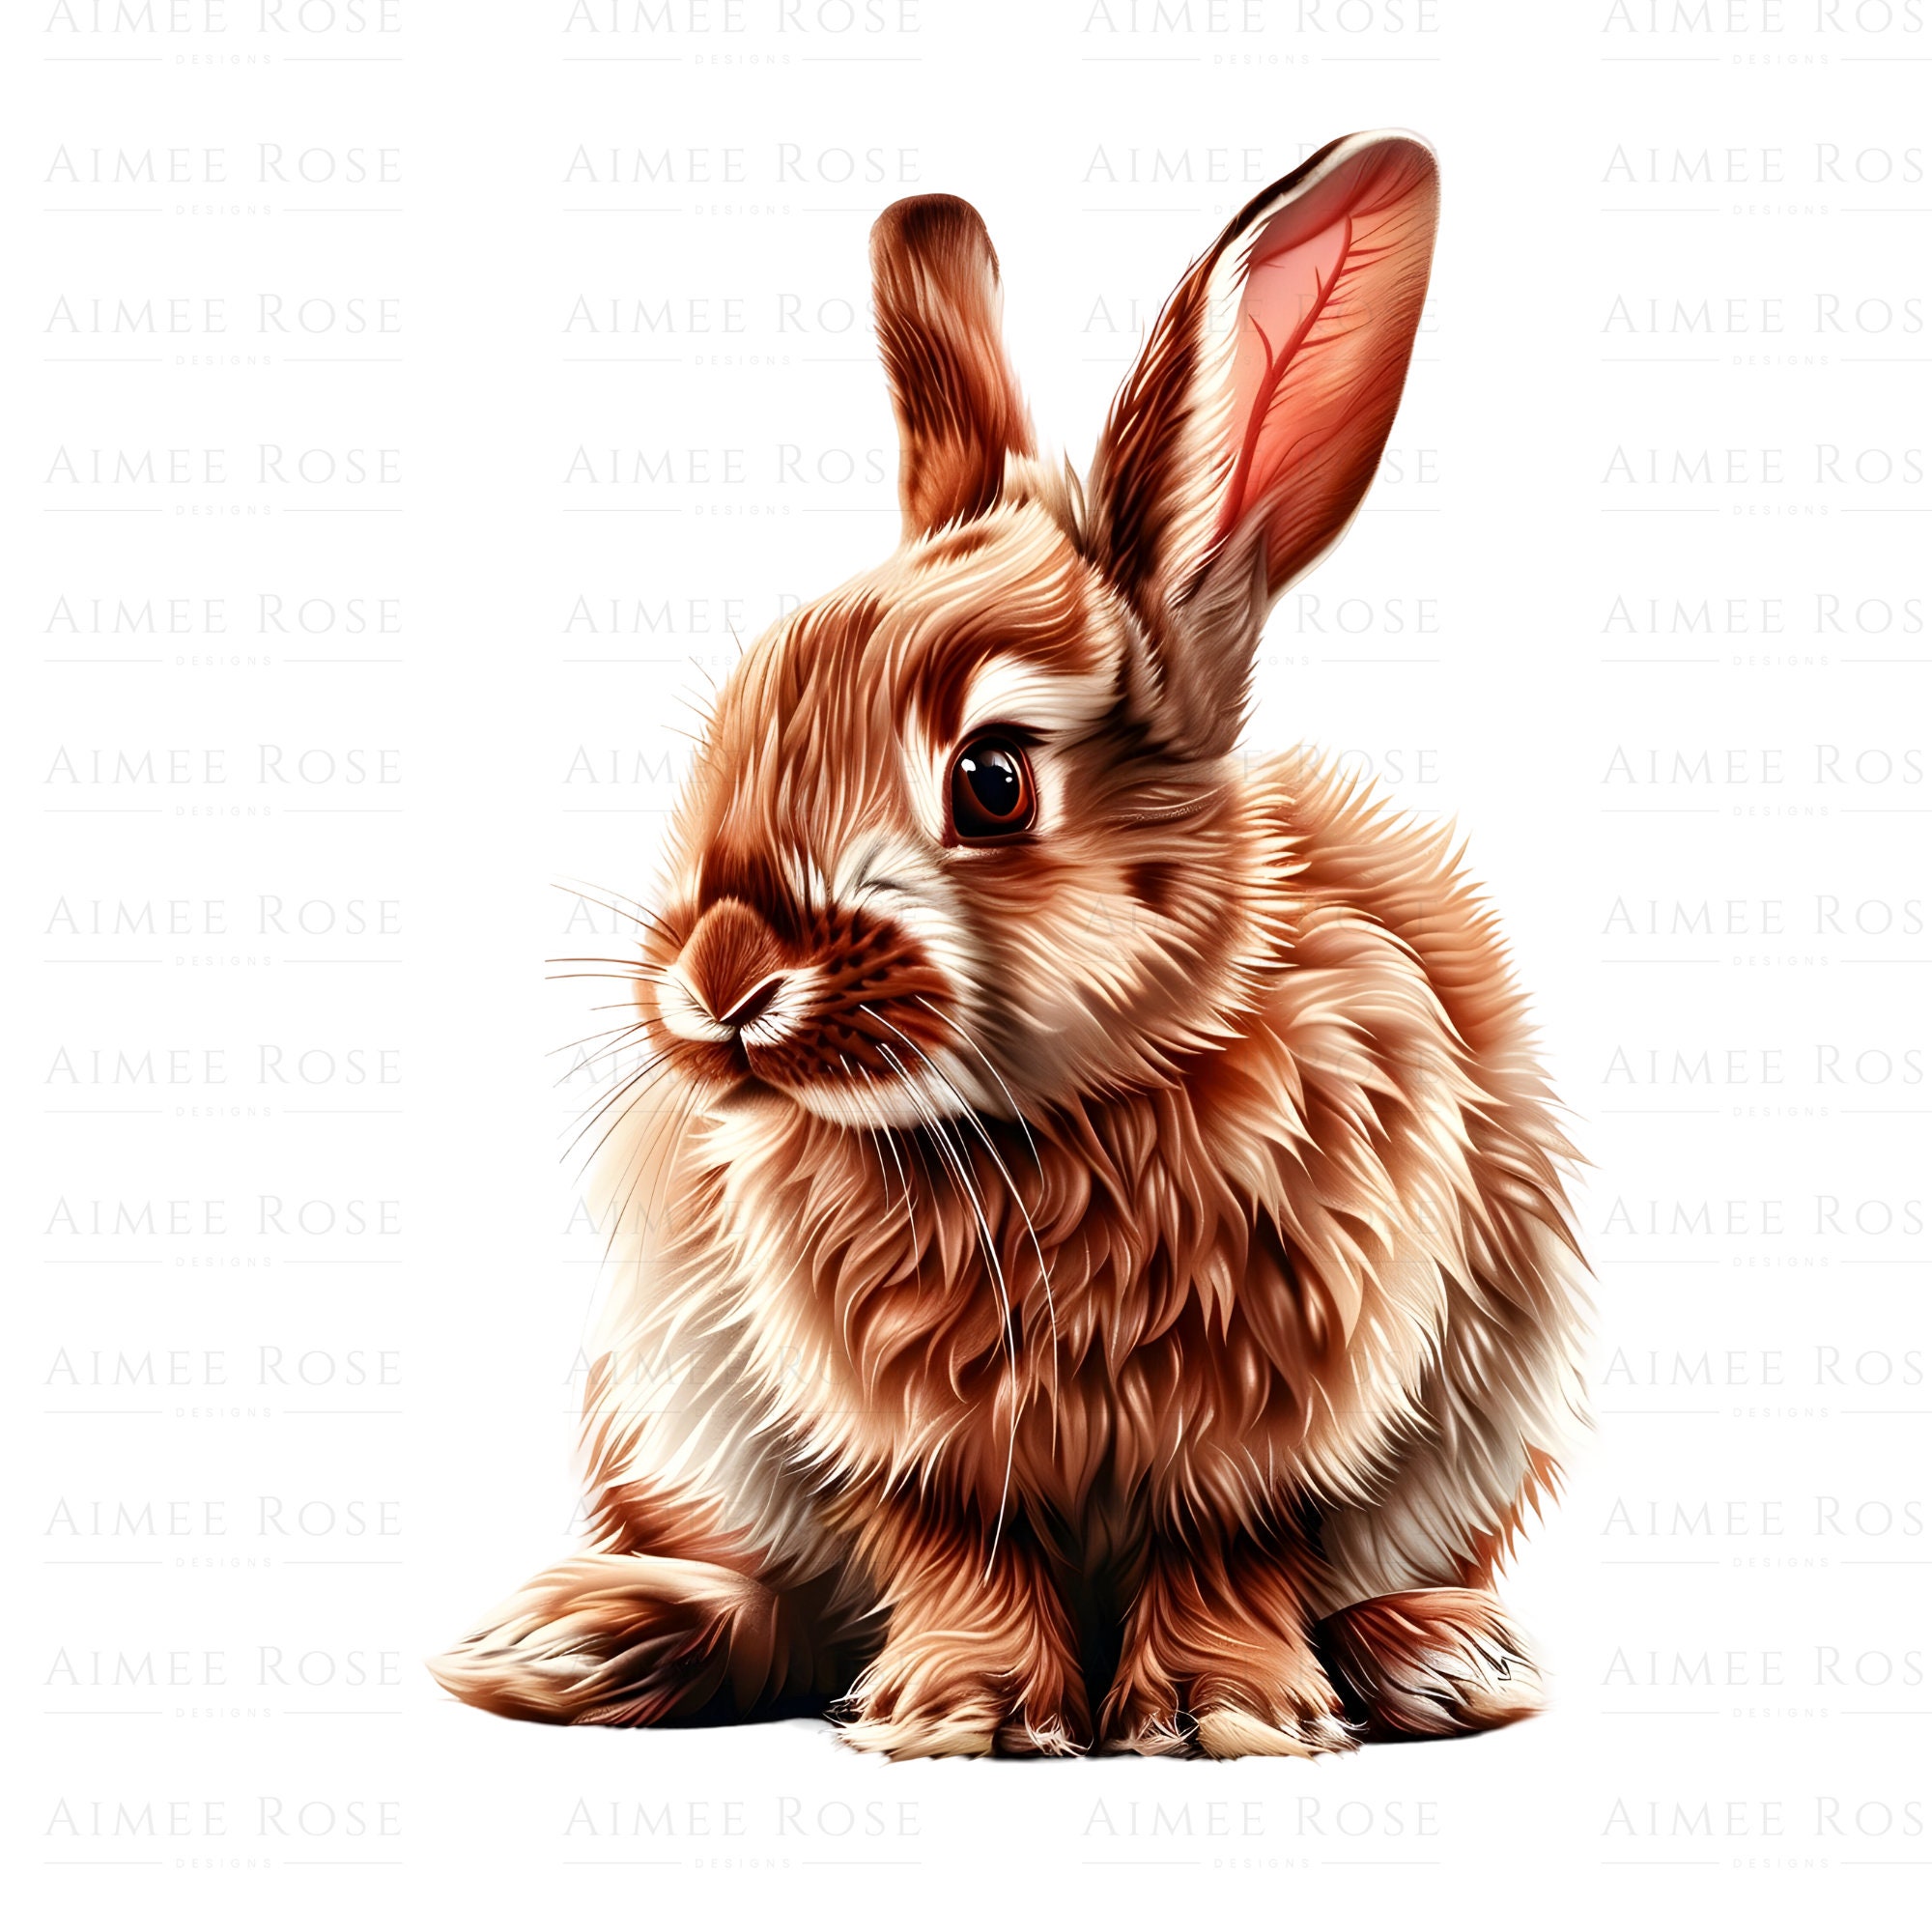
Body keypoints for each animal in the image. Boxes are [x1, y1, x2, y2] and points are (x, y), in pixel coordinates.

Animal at [430, 129, 1590, 1759]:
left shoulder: (1279, 1426)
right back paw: (581, 1638)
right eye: (739, 718)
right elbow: (951, 1549)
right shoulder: (901, 1440)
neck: (1049, 1118)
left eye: (990, 780)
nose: (721, 985)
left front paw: (1220, 1714)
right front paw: (964, 1708)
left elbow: (1230, 1551)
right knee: (773, 1604)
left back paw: (1440, 1656)